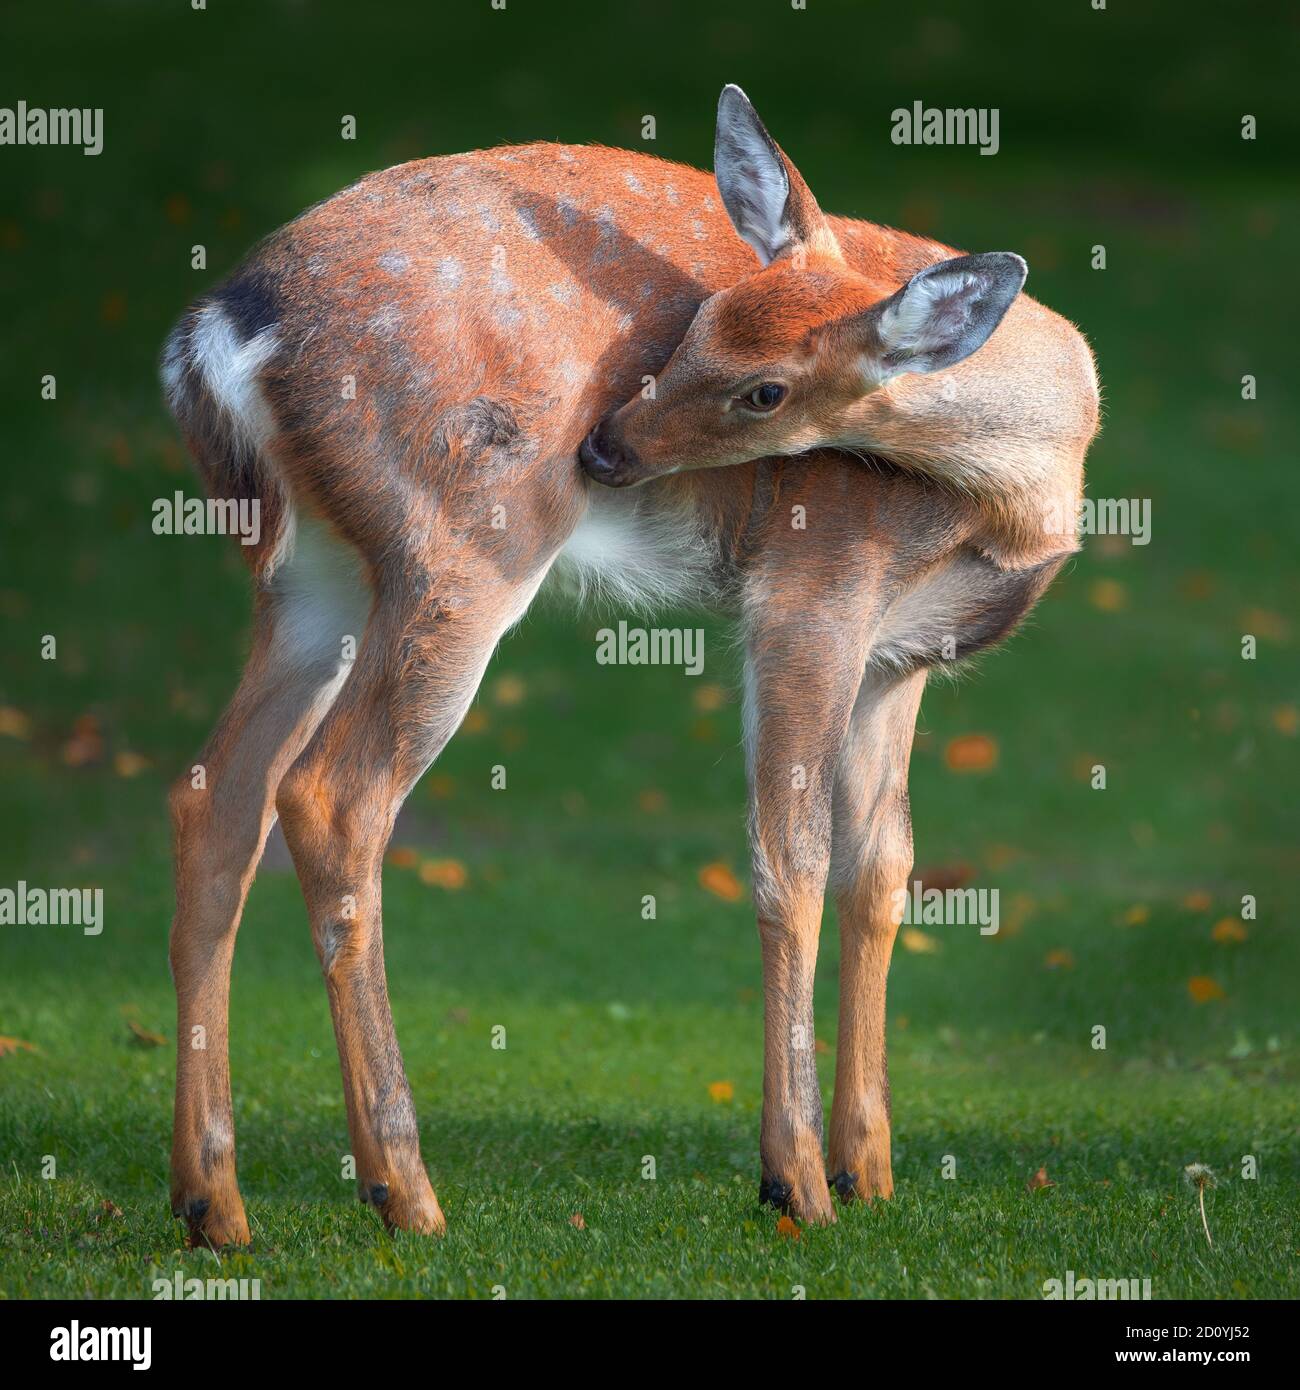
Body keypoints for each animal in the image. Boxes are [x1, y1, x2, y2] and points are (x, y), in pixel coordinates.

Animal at [161, 85, 1098, 1244]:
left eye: (764, 390)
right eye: (692, 323)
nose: (605, 448)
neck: (1024, 489)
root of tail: (221, 331)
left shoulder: (901, 654)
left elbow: (881, 874)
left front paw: (870, 1170)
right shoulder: (811, 591)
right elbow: (789, 863)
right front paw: (796, 1182)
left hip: (315, 575)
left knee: (216, 794)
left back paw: (213, 1204)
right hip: (465, 539)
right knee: (335, 795)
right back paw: (406, 1193)